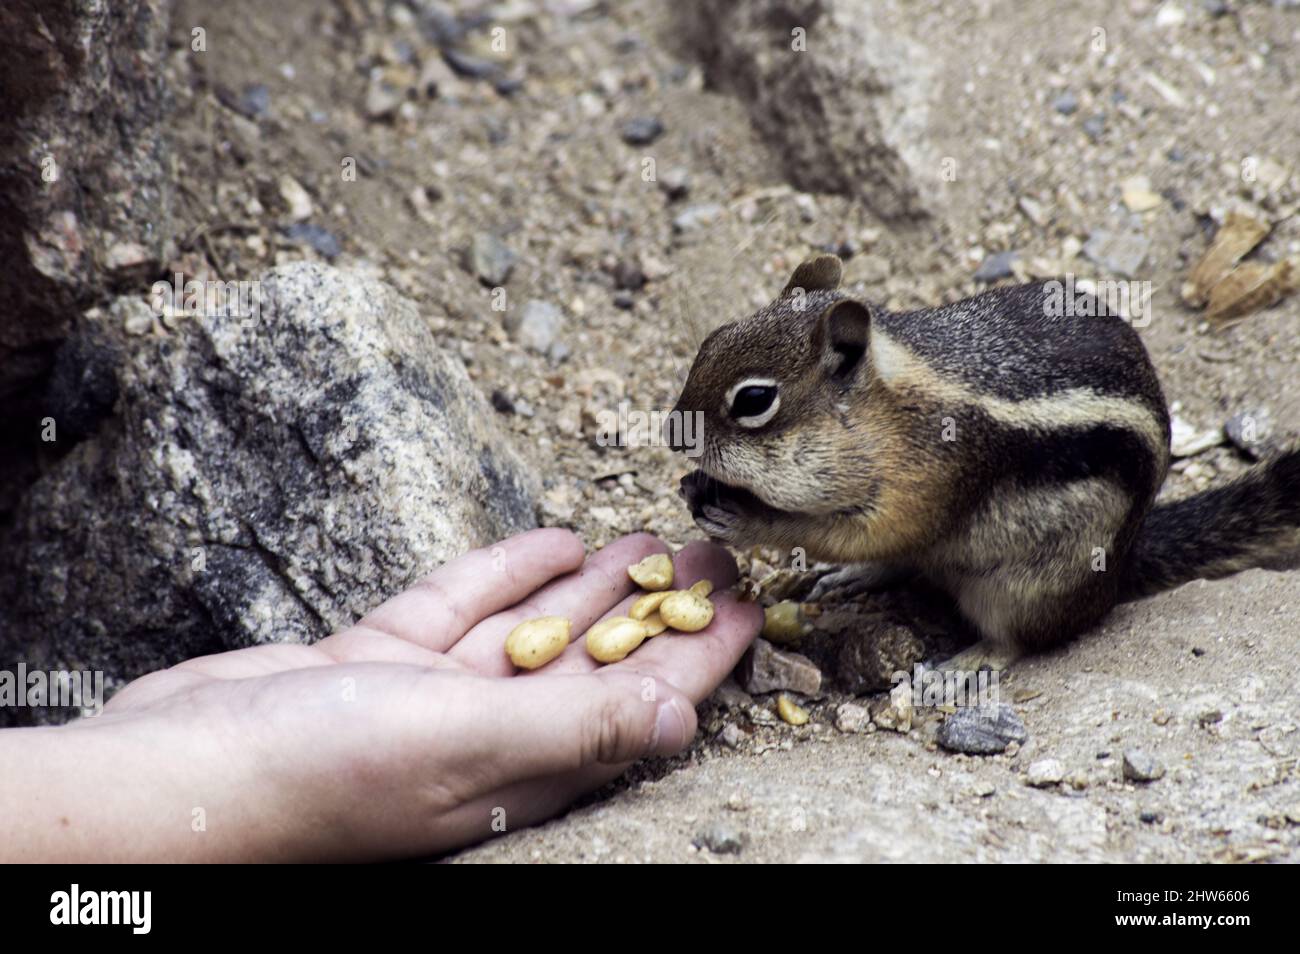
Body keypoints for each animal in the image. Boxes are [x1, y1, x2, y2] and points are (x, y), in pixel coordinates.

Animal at [669, 254, 1300, 670]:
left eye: (754, 400)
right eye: (711, 340)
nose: (675, 434)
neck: (883, 412)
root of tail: (1120, 569)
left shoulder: (925, 486)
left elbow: (854, 531)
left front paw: (747, 518)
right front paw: (697, 487)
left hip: (1027, 589)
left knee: (1017, 638)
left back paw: (966, 664)